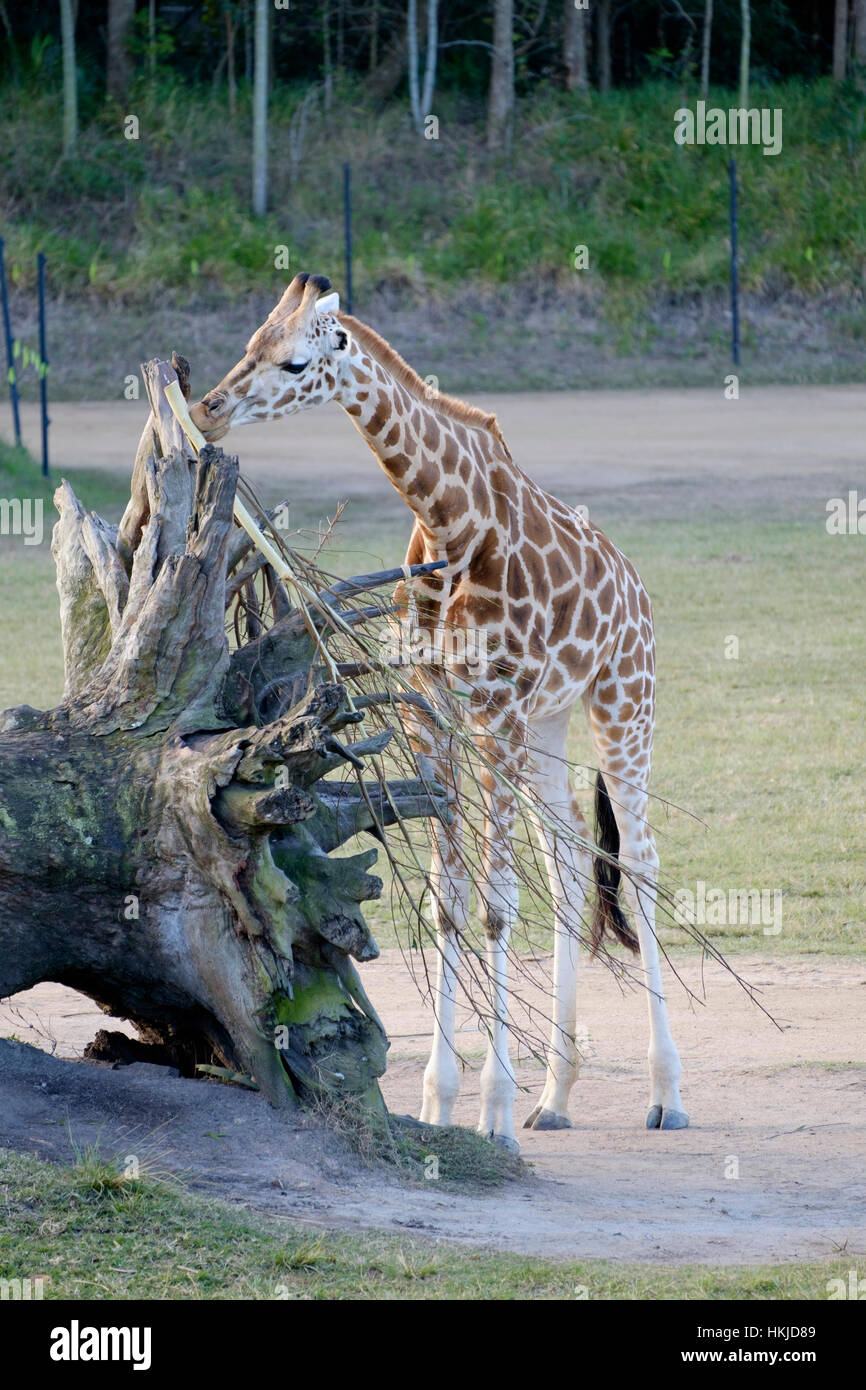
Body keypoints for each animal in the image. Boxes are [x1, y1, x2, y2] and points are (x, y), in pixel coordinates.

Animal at [189, 272, 689, 1149]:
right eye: (251, 341)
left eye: (293, 363)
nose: (209, 408)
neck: (453, 521)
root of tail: (634, 582)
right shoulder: (435, 708)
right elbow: (449, 903)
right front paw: (440, 1100)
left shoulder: (496, 707)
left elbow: (494, 906)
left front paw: (491, 1111)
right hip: (550, 723)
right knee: (567, 863)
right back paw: (556, 1096)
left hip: (624, 698)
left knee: (640, 859)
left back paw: (666, 1093)